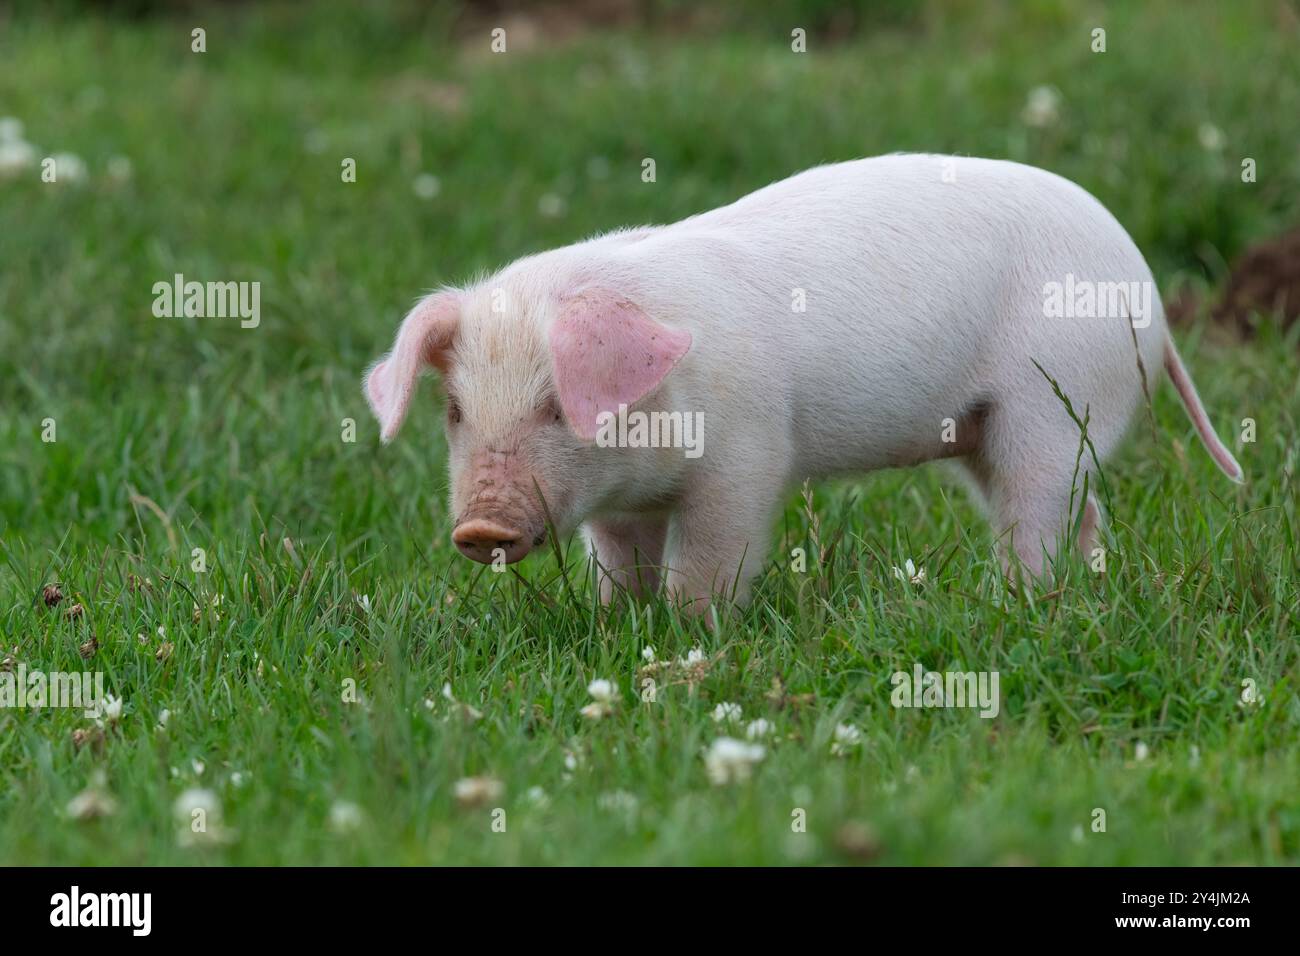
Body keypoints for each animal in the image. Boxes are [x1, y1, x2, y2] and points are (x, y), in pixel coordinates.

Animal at [364, 154, 1243, 611]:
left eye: (555, 406)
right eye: (455, 410)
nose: (480, 527)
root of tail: (1148, 293)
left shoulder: (748, 457)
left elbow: (713, 556)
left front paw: (689, 635)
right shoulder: (619, 506)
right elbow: (618, 563)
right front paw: (618, 626)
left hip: (1056, 400)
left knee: (1038, 508)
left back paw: (1015, 602)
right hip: (992, 430)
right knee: (1076, 511)